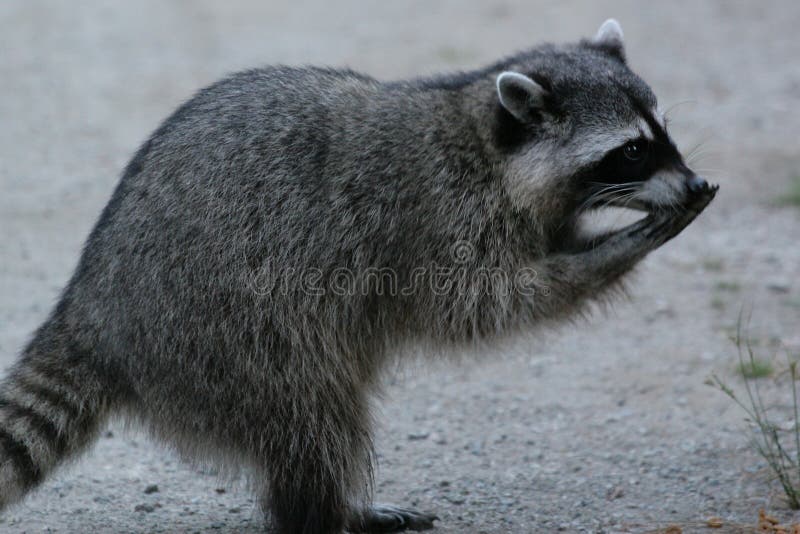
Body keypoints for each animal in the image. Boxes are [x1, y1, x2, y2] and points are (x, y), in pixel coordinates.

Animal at [1, 19, 716, 533]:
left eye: (662, 133)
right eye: (630, 150)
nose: (694, 184)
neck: (483, 139)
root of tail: (91, 304)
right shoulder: (437, 219)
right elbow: (484, 305)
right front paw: (616, 248)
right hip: (231, 330)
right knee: (315, 414)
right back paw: (325, 511)